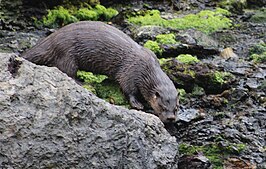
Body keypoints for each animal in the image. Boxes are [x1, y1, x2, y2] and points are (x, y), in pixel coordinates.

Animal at [22, 21, 179, 123]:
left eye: (176, 108)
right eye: (162, 106)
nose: (171, 118)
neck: (148, 68)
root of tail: (51, 39)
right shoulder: (131, 72)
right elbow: (128, 89)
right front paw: (138, 104)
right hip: (67, 55)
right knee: (67, 72)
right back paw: (81, 82)